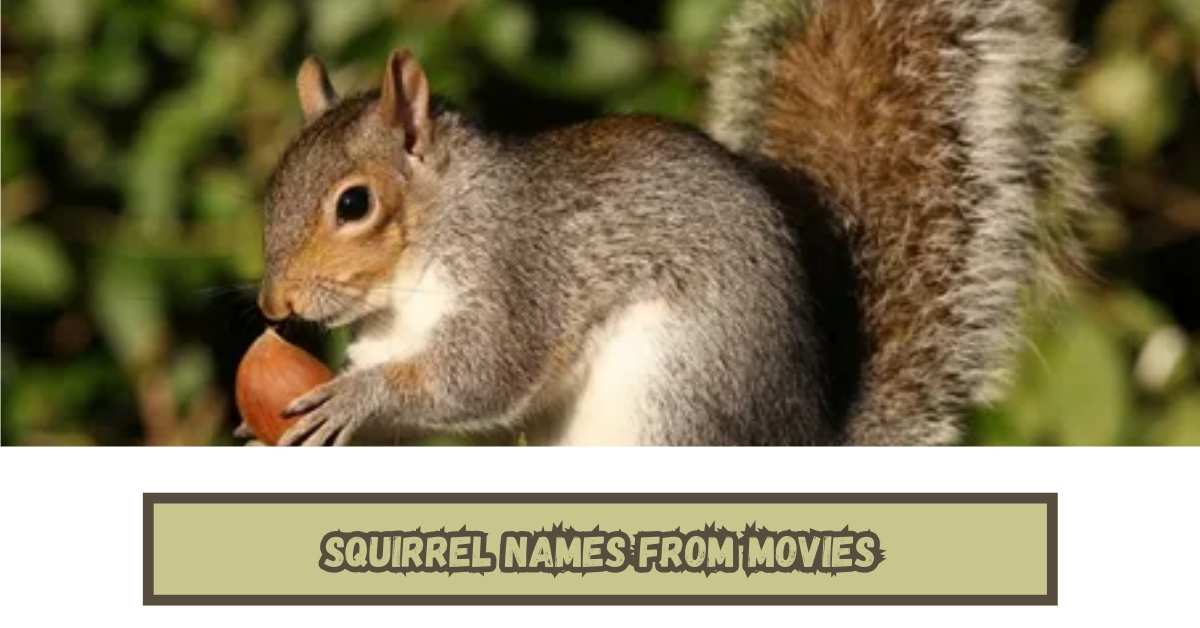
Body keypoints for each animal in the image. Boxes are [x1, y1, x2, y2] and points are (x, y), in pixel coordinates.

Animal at [251, 0, 1095, 446]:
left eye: (354, 204)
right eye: (275, 180)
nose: (271, 305)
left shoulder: (516, 273)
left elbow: (481, 376)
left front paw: (360, 399)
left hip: (675, 402)